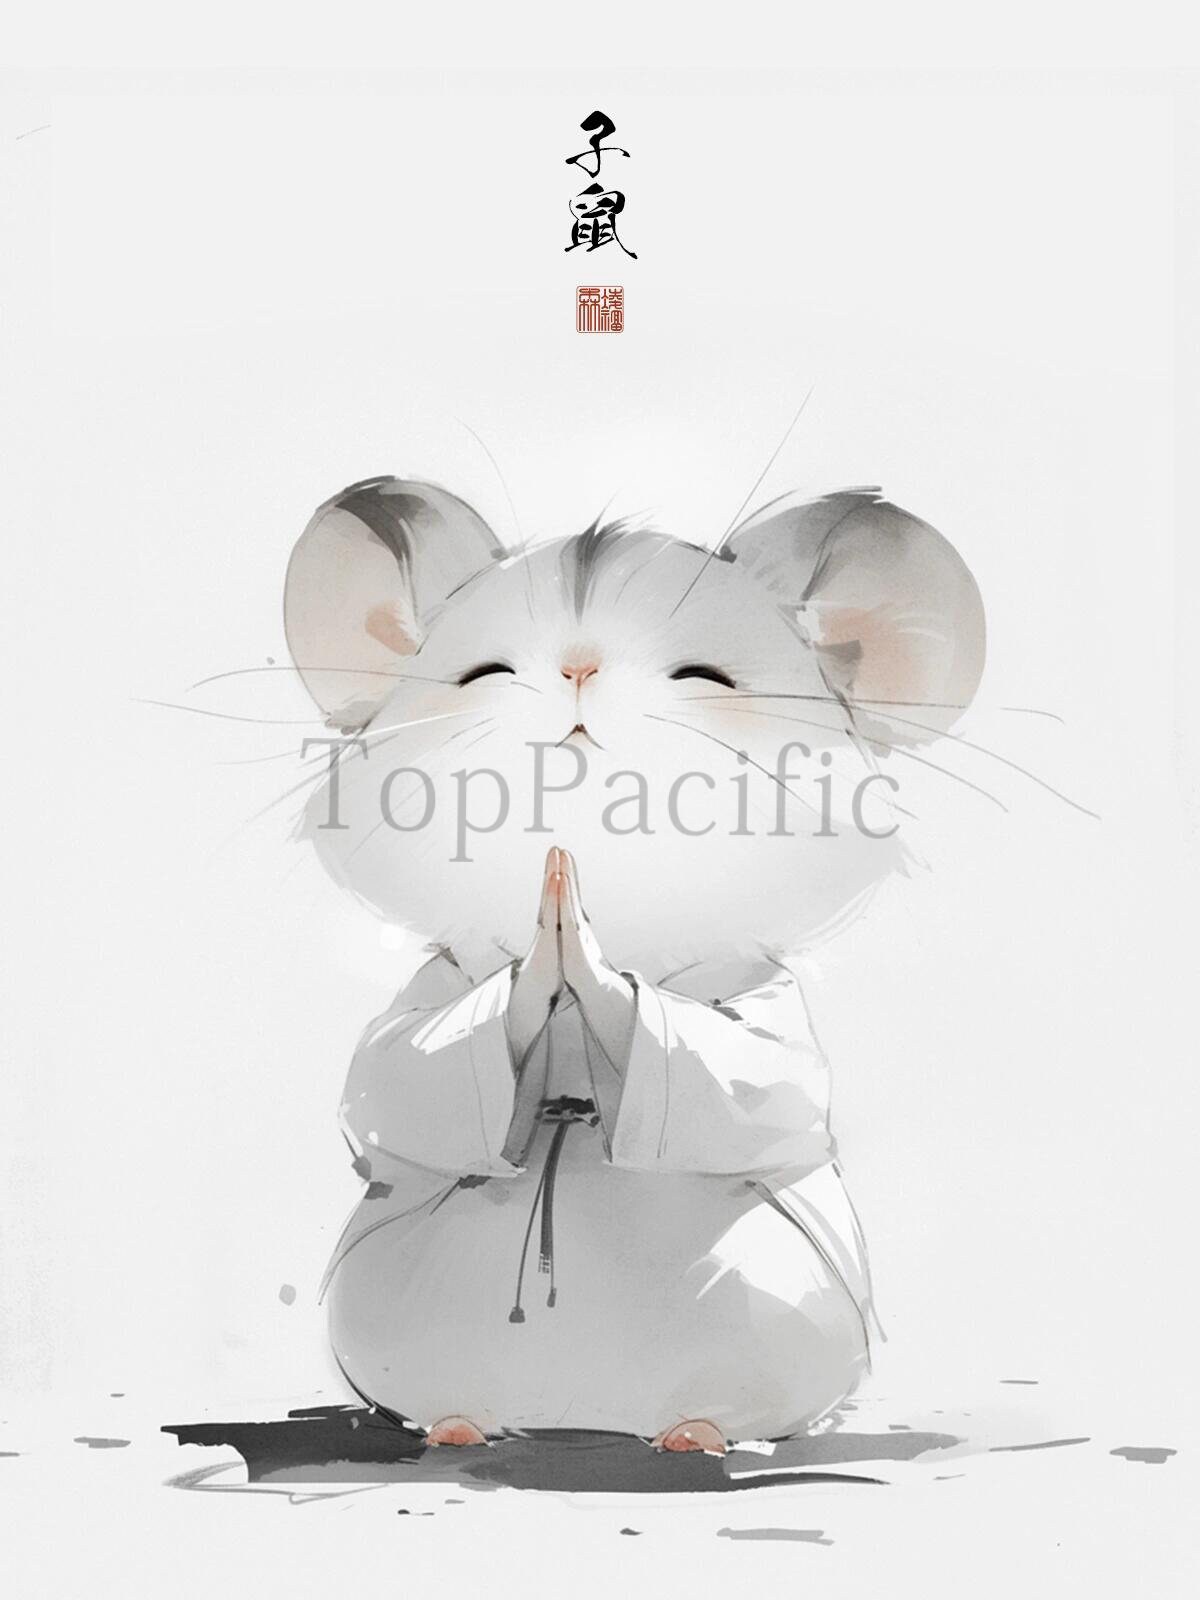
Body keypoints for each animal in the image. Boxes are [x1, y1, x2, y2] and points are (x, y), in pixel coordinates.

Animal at [283, 474, 984, 1452]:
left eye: (705, 679)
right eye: (482, 674)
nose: (578, 665)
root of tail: (580, 1422)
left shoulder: (768, 1002)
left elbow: (765, 1080)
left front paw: (592, 959)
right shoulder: (429, 990)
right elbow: (390, 1080)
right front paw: (543, 958)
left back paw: (699, 1431)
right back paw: (459, 1427)